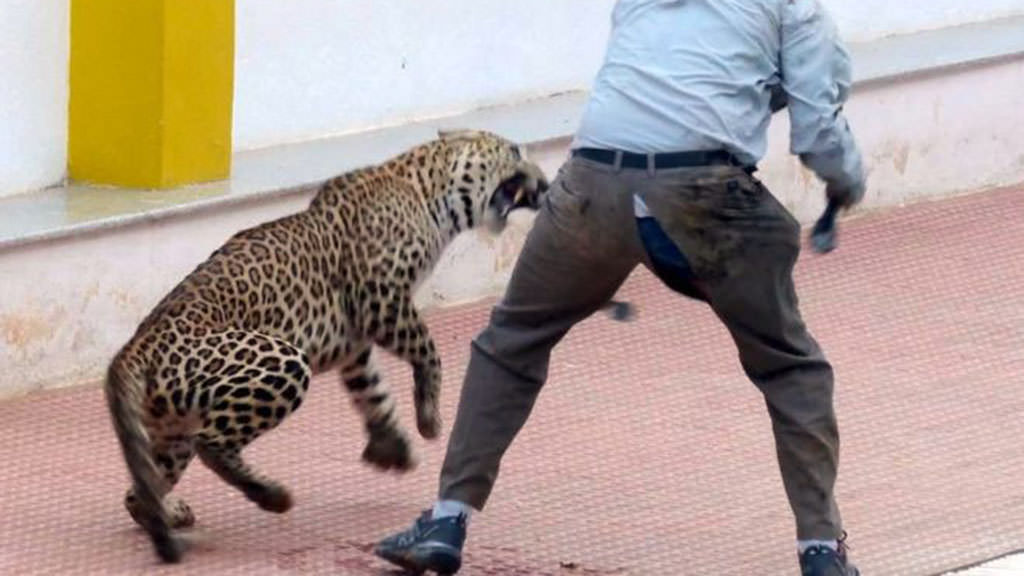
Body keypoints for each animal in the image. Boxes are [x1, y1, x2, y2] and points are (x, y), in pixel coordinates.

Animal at [103, 129, 550, 564]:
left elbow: (372, 390)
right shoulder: (381, 301)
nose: (545, 185)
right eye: (514, 151)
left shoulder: (354, 342)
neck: (428, 191)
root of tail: (132, 350)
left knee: (140, 490)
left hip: (172, 426)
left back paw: (168, 513)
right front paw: (429, 419)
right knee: (211, 444)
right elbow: (428, 350)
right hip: (281, 362)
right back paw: (273, 496)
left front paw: (392, 446)